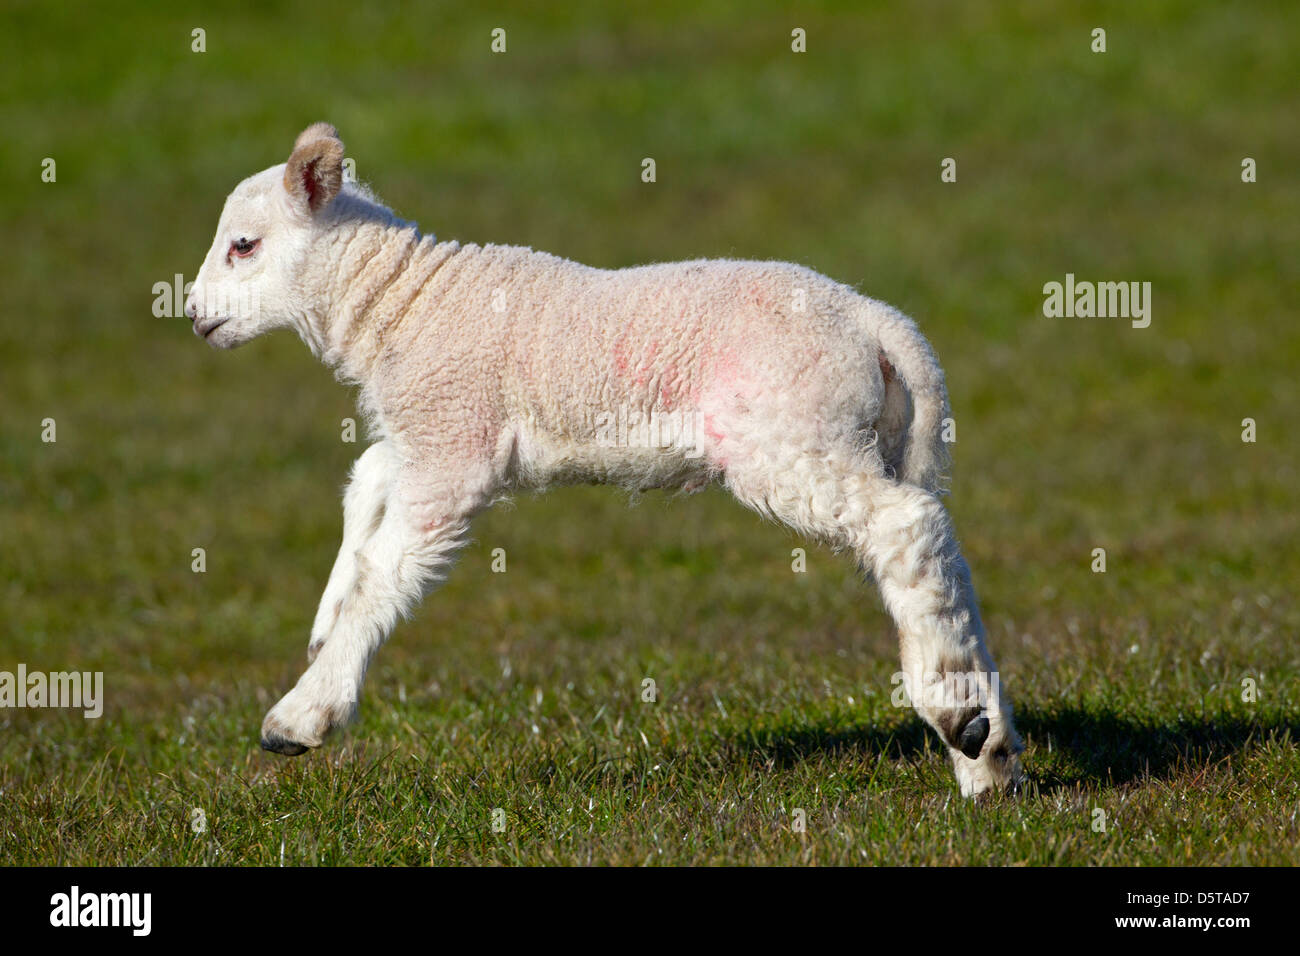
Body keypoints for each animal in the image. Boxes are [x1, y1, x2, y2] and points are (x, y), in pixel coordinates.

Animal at [185, 122, 1023, 797]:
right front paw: (323, 623)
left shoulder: (453, 439)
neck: (403, 305)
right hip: (872, 436)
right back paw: (988, 756)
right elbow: (365, 489)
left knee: (905, 523)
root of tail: (878, 322)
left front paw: (303, 714)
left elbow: (387, 573)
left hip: (788, 434)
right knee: (935, 551)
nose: (193, 315)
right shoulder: (431, 431)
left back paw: (957, 715)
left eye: (243, 245)